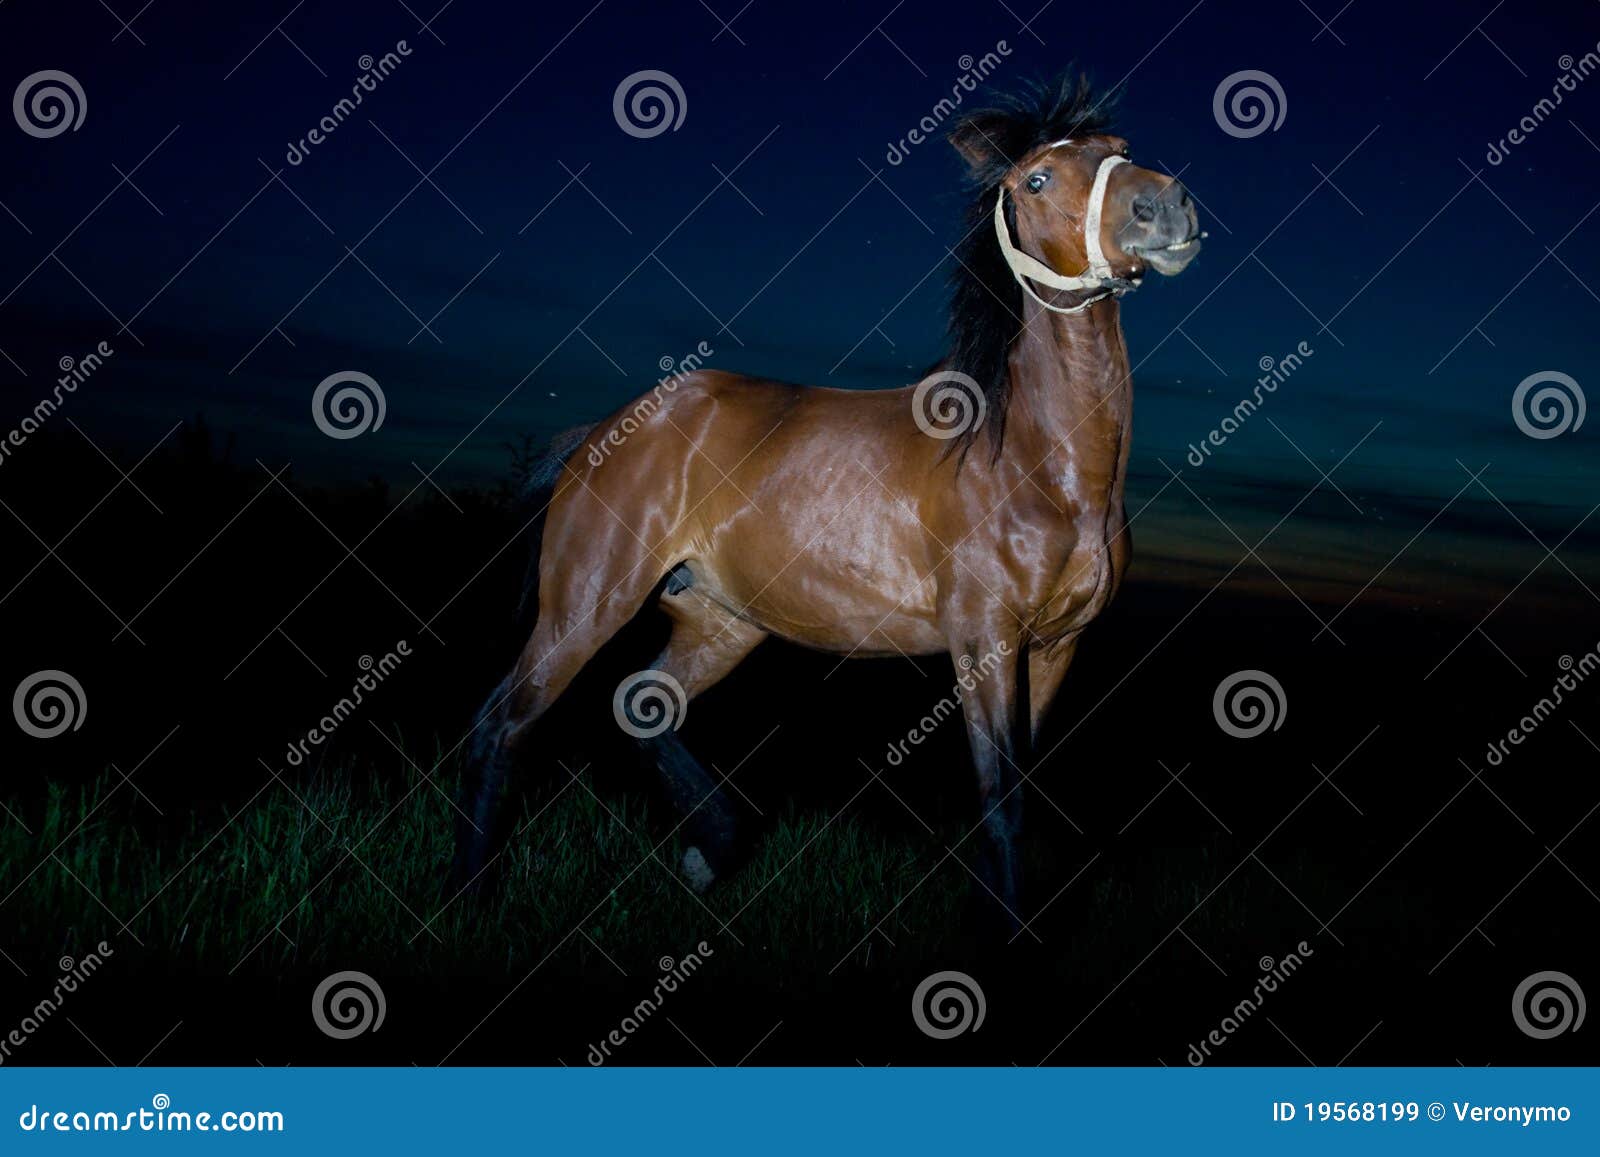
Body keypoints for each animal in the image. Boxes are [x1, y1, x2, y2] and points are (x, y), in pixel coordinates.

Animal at [452, 77, 1202, 935]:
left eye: (1117, 148)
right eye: (1037, 180)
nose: (1165, 207)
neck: (1038, 461)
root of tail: (602, 431)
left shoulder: (1056, 647)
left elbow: (1024, 793)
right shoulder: (984, 642)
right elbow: (1000, 803)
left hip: (720, 624)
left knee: (640, 704)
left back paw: (715, 844)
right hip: (583, 605)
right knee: (500, 726)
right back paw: (468, 903)